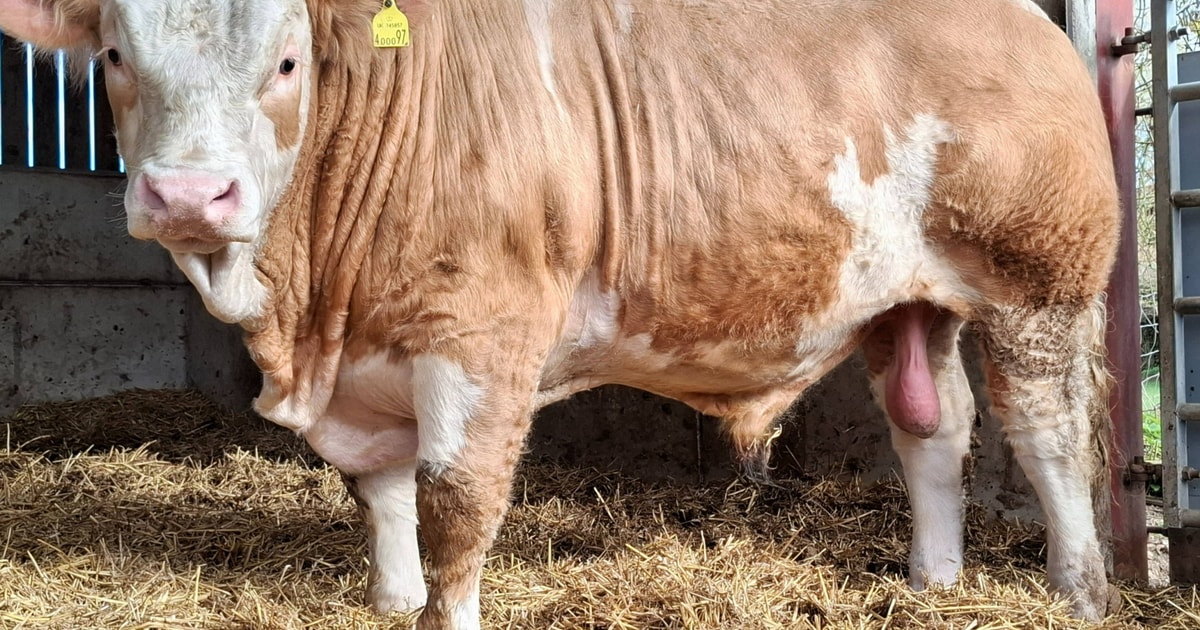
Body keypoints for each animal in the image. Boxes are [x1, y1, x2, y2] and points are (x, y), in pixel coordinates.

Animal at [0, 0, 1120, 627]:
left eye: (285, 62)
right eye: (114, 58)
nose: (189, 195)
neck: (313, 312)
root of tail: (1028, 19)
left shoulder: (478, 339)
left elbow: (454, 503)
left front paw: (440, 613)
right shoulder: (377, 351)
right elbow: (382, 492)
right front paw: (392, 599)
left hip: (1039, 284)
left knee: (1050, 434)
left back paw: (1080, 590)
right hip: (906, 304)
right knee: (933, 430)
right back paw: (935, 586)